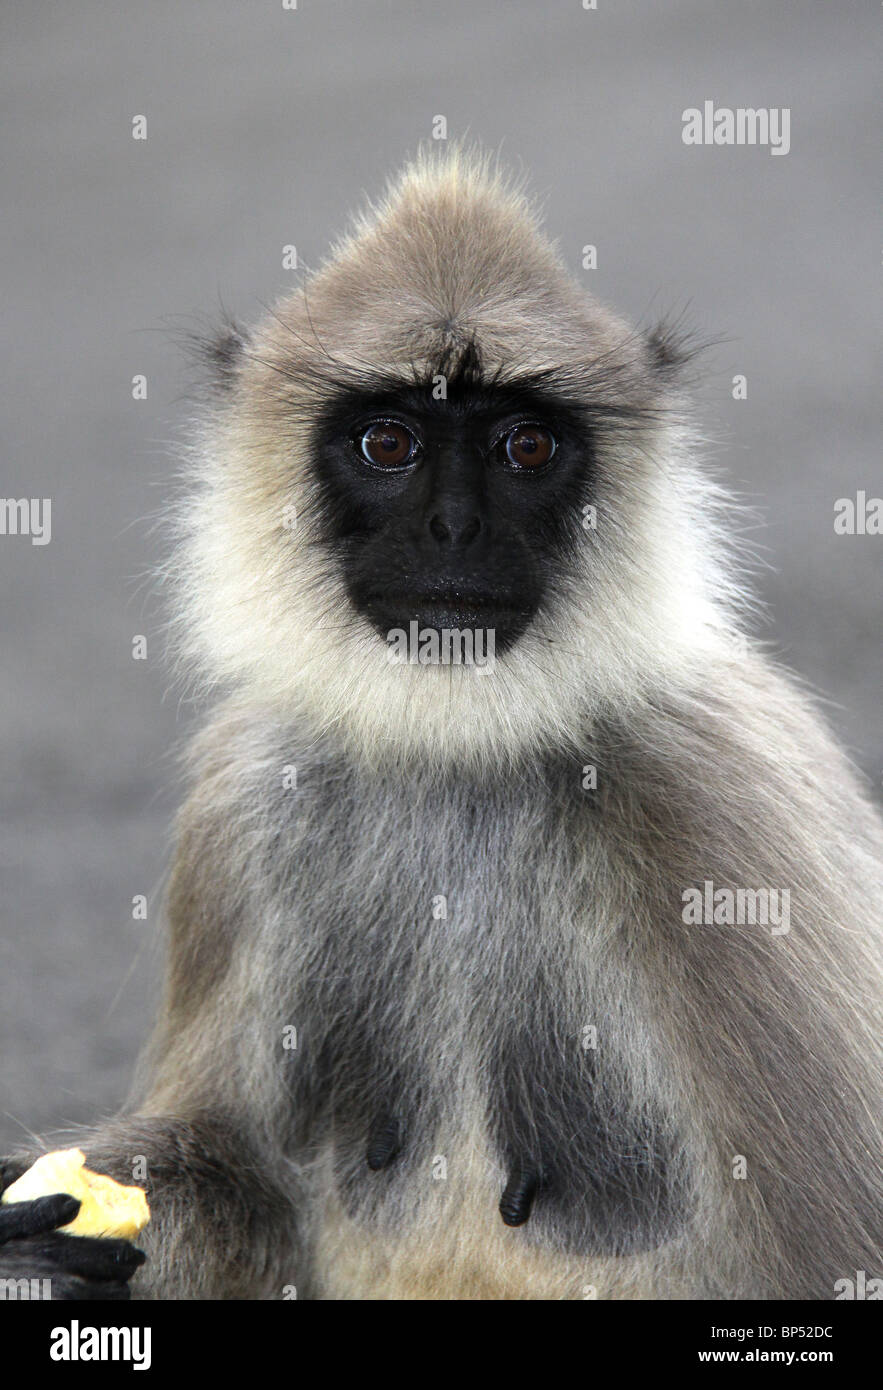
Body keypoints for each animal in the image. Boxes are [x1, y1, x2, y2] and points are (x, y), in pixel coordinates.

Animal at [1, 147, 881, 1300]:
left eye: (524, 446)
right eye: (389, 441)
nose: (453, 528)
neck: (460, 749)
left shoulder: (715, 796)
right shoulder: (247, 794)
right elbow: (243, 1172)